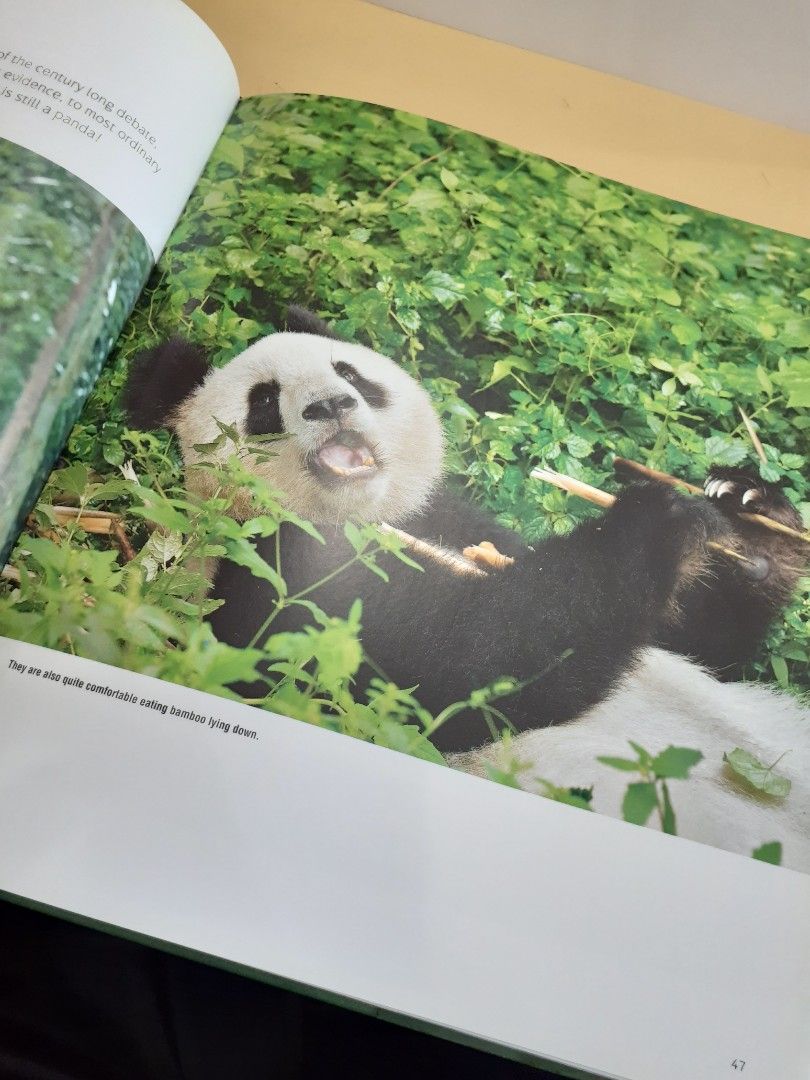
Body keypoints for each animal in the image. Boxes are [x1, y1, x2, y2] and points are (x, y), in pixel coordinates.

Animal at [125, 307, 810, 870]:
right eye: (264, 403)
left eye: (350, 372)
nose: (331, 404)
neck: (371, 520)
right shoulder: (268, 584)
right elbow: (454, 672)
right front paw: (651, 523)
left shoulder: (461, 522)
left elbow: (705, 648)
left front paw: (750, 515)